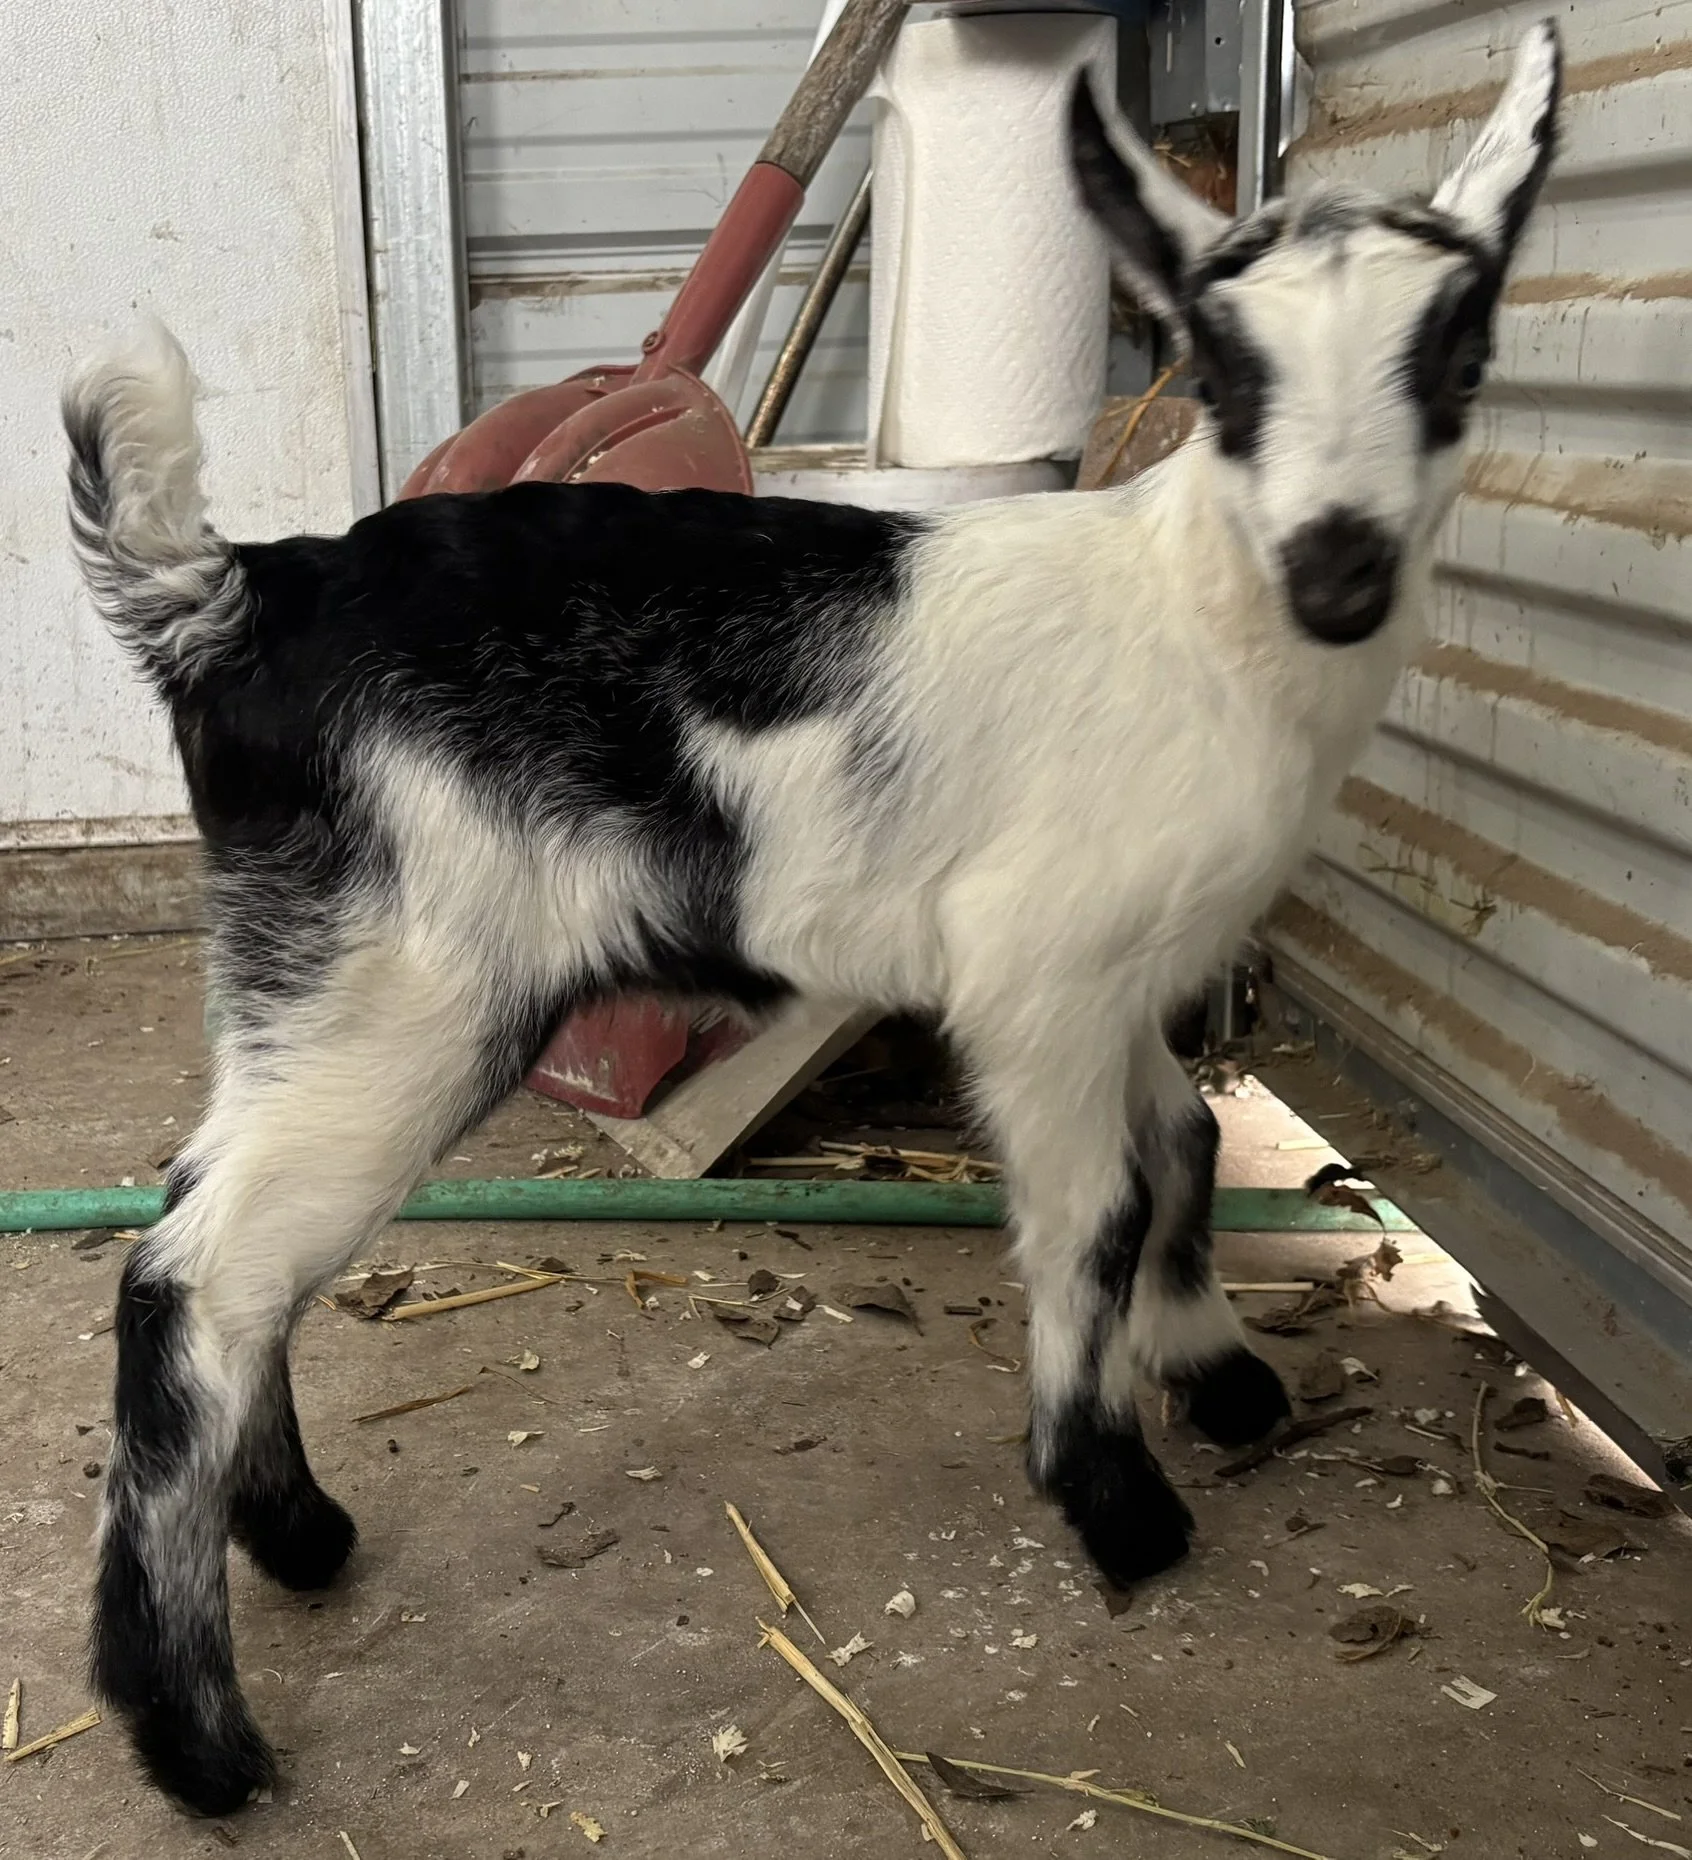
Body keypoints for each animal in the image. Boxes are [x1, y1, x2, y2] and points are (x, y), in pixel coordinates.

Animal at [65, 21, 1560, 1814]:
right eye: (1225, 364)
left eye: (1457, 349)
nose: (1338, 574)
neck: (1199, 615)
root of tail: (236, 599)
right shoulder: (1040, 978)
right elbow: (1099, 1209)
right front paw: (1113, 1497)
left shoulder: (1119, 981)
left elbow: (1189, 1147)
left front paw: (1218, 1374)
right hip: (403, 984)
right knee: (196, 1279)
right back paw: (199, 1739)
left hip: (306, 983)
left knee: (222, 1231)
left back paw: (292, 1533)